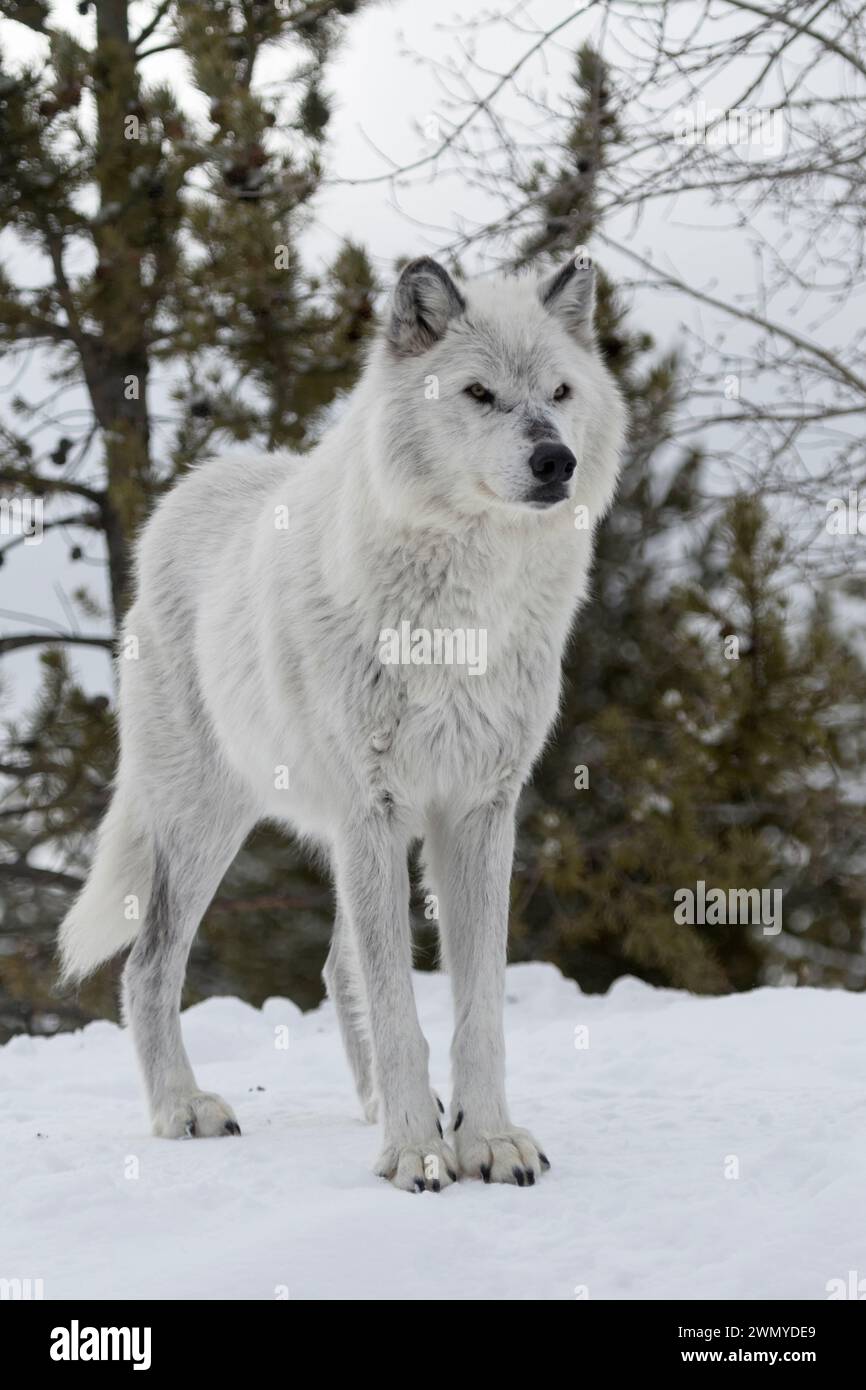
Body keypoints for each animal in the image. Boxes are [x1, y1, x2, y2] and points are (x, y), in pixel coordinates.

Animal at [58, 253, 626, 1191]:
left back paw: (377, 1108)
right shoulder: (377, 809)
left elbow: (477, 1010)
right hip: (206, 821)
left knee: (332, 963)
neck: (462, 611)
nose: (556, 460)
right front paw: (415, 1154)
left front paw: (485, 1140)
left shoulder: (478, 810)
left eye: (561, 390)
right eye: (478, 393)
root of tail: (184, 492)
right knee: (149, 965)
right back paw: (185, 1110)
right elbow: (401, 1010)